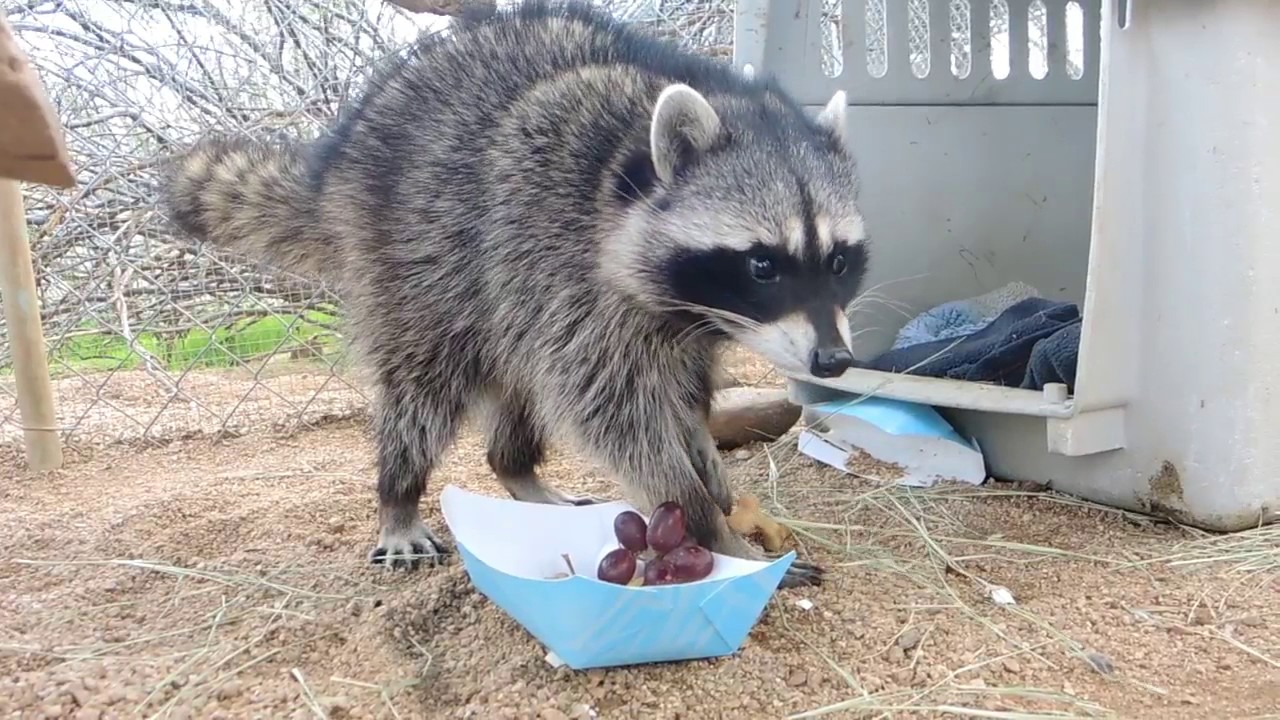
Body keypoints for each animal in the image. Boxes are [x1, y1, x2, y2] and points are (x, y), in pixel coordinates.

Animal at [161, 0, 870, 588]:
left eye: (839, 260)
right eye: (762, 265)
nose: (833, 361)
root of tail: (337, 160)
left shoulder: (685, 322)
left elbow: (686, 395)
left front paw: (706, 465)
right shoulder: (561, 262)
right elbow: (614, 414)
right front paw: (707, 522)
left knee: (516, 383)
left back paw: (514, 467)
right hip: (419, 254)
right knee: (424, 386)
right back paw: (400, 493)